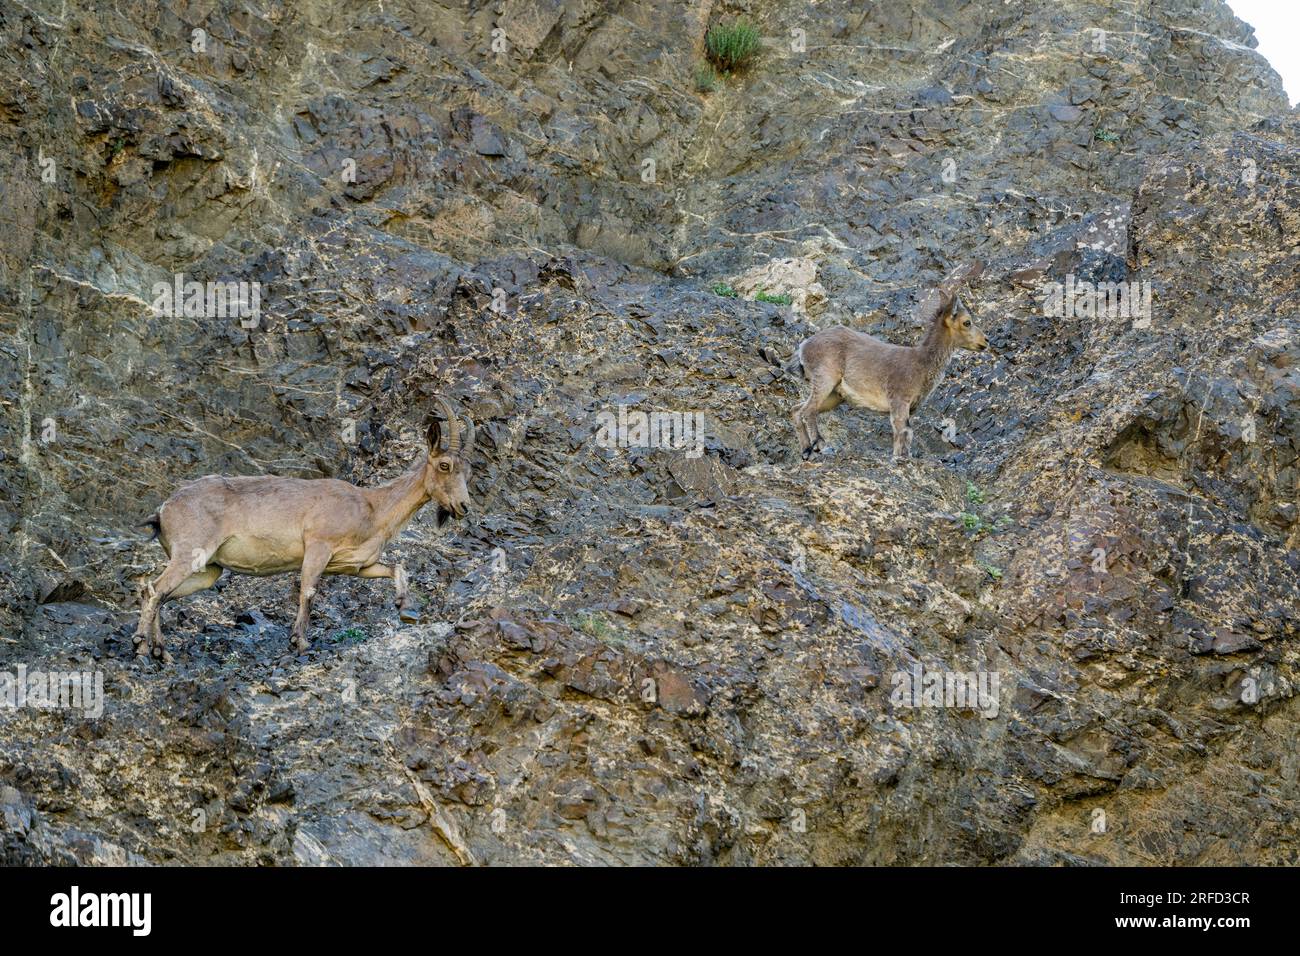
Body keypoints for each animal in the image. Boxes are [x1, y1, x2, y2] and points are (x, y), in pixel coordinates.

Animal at [131, 397, 476, 663]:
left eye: (468, 471)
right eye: (444, 465)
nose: (463, 506)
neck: (372, 507)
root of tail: (163, 511)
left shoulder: (356, 565)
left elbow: (396, 567)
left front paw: (405, 609)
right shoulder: (318, 546)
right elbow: (308, 590)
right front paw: (300, 641)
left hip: (209, 568)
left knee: (160, 592)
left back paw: (161, 651)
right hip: (191, 550)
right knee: (155, 589)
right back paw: (140, 645)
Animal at [791, 262, 986, 462]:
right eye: (967, 322)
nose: (985, 341)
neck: (923, 363)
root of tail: (803, 347)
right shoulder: (899, 401)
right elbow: (904, 433)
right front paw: (900, 459)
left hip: (835, 395)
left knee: (796, 410)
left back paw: (806, 450)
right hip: (825, 379)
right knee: (807, 411)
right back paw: (820, 445)